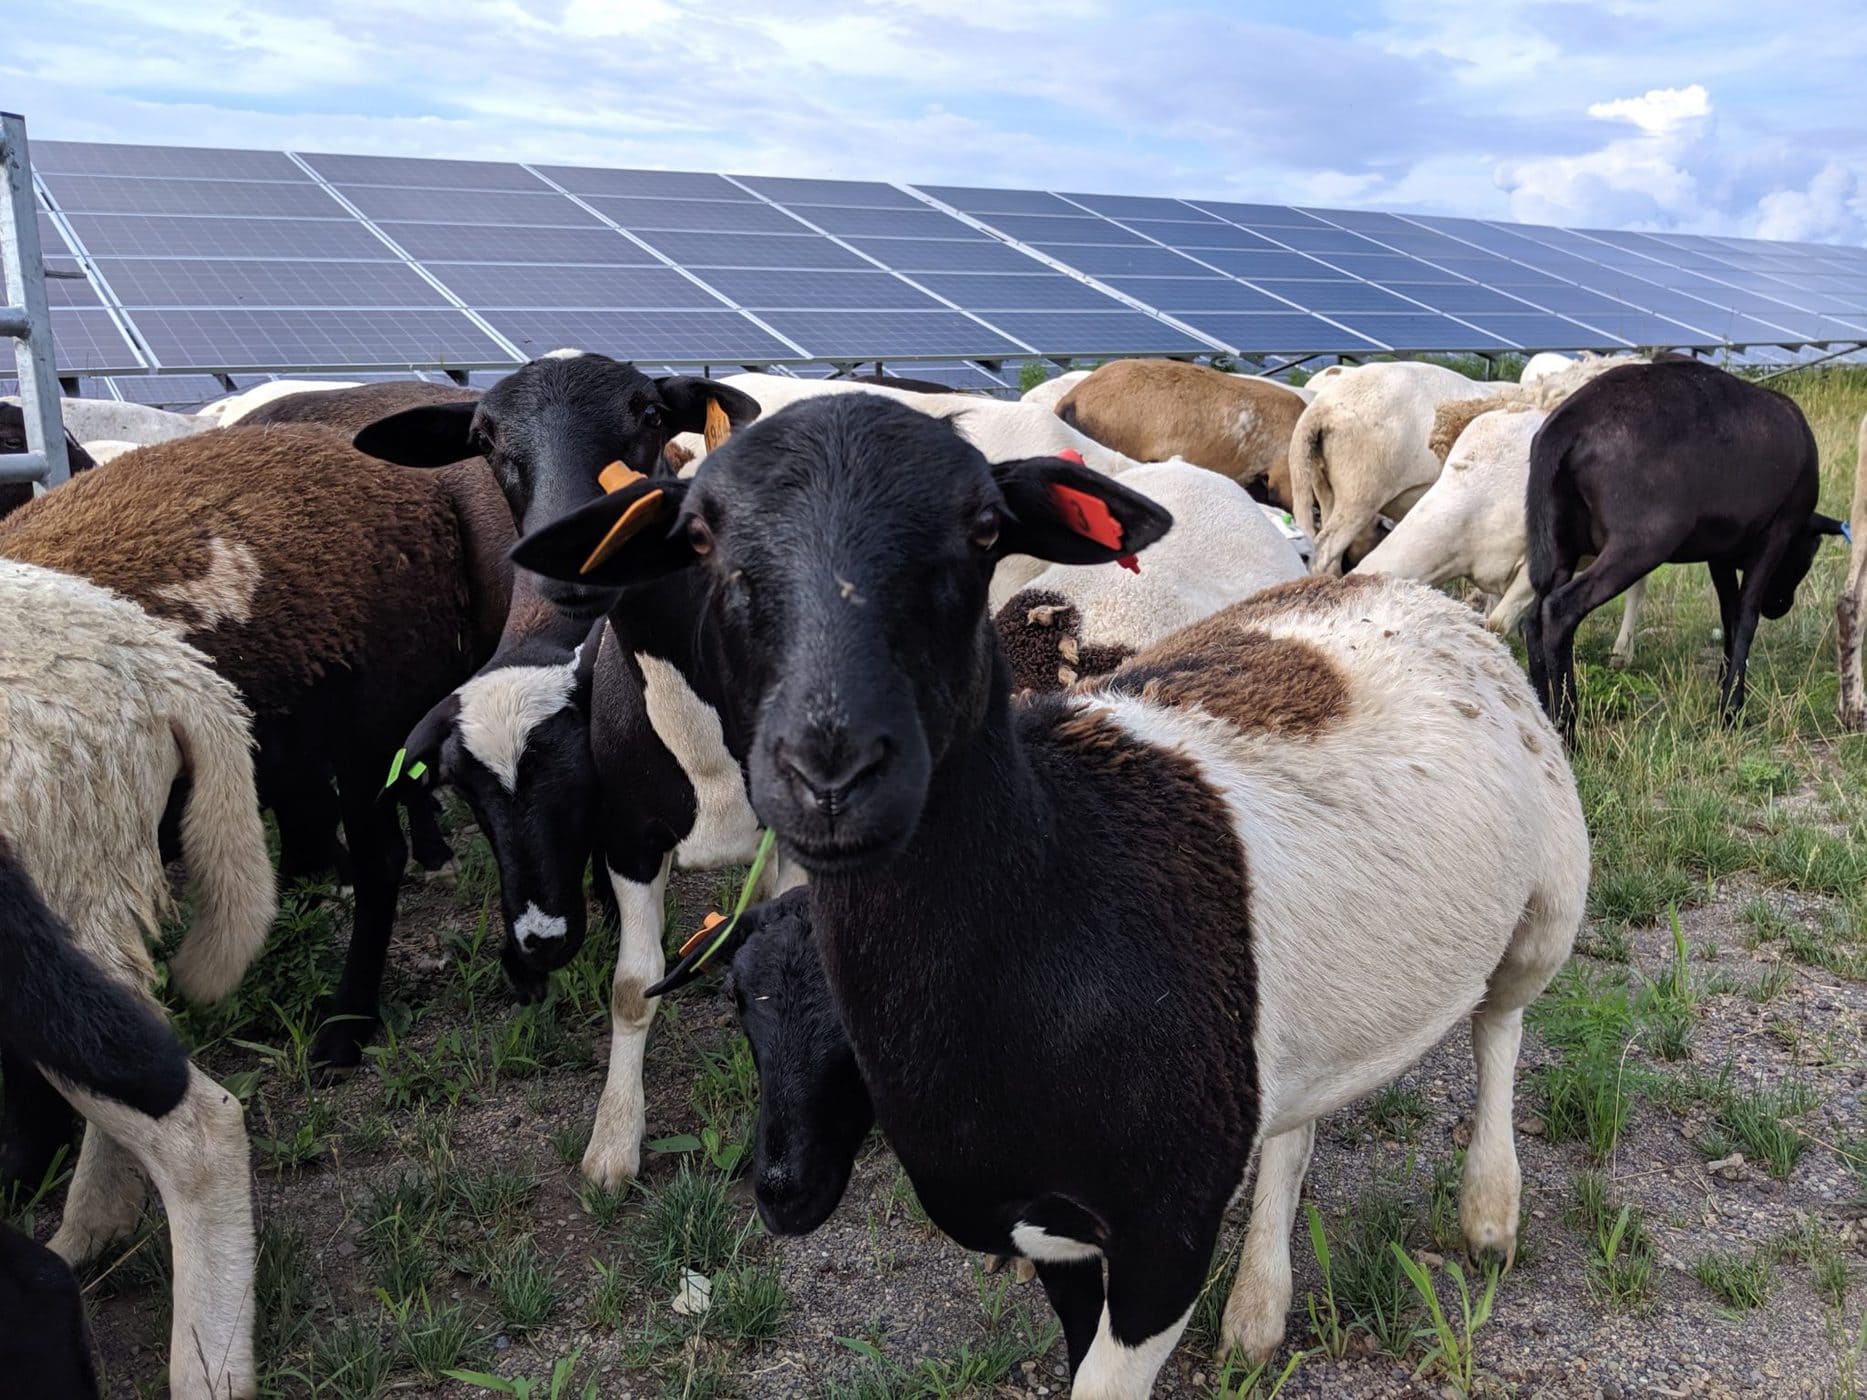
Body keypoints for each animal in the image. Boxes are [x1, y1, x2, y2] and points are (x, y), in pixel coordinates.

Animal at [0, 561, 274, 1400]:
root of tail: (162, 664)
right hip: (86, 886)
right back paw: (94, 1220)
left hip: (56, 895)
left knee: (191, 1123)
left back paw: (208, 1370)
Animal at [1526, 359, 1845, 737]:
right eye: (1810, 552)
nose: (1779, 608)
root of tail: (1566, 423)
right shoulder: (1777, 532)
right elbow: (1747, 616)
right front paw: (1732, 711)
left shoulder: (1720, 551)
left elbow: (1730, 615)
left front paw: (1724, 688)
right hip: (1642, 539)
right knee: (1560, 609)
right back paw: (1567, 729)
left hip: (1562, 540)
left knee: (1533, 617)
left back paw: (1543, 715)